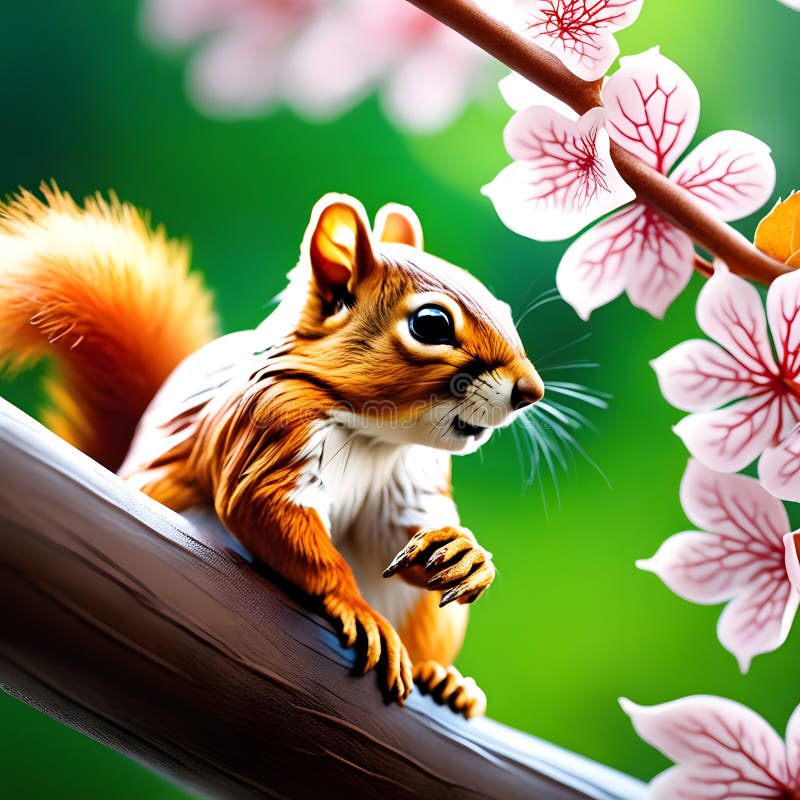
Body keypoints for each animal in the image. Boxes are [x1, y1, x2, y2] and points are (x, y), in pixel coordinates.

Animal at [0, 184, 544, 718]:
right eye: (431, 325)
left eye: (503, 310)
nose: (531, 391)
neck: (374, 436)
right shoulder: (270, 425)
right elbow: (269, 510)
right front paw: (357, 607)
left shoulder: (410, 479)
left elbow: (399, 538)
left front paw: (467, 554)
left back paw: (446, 680)